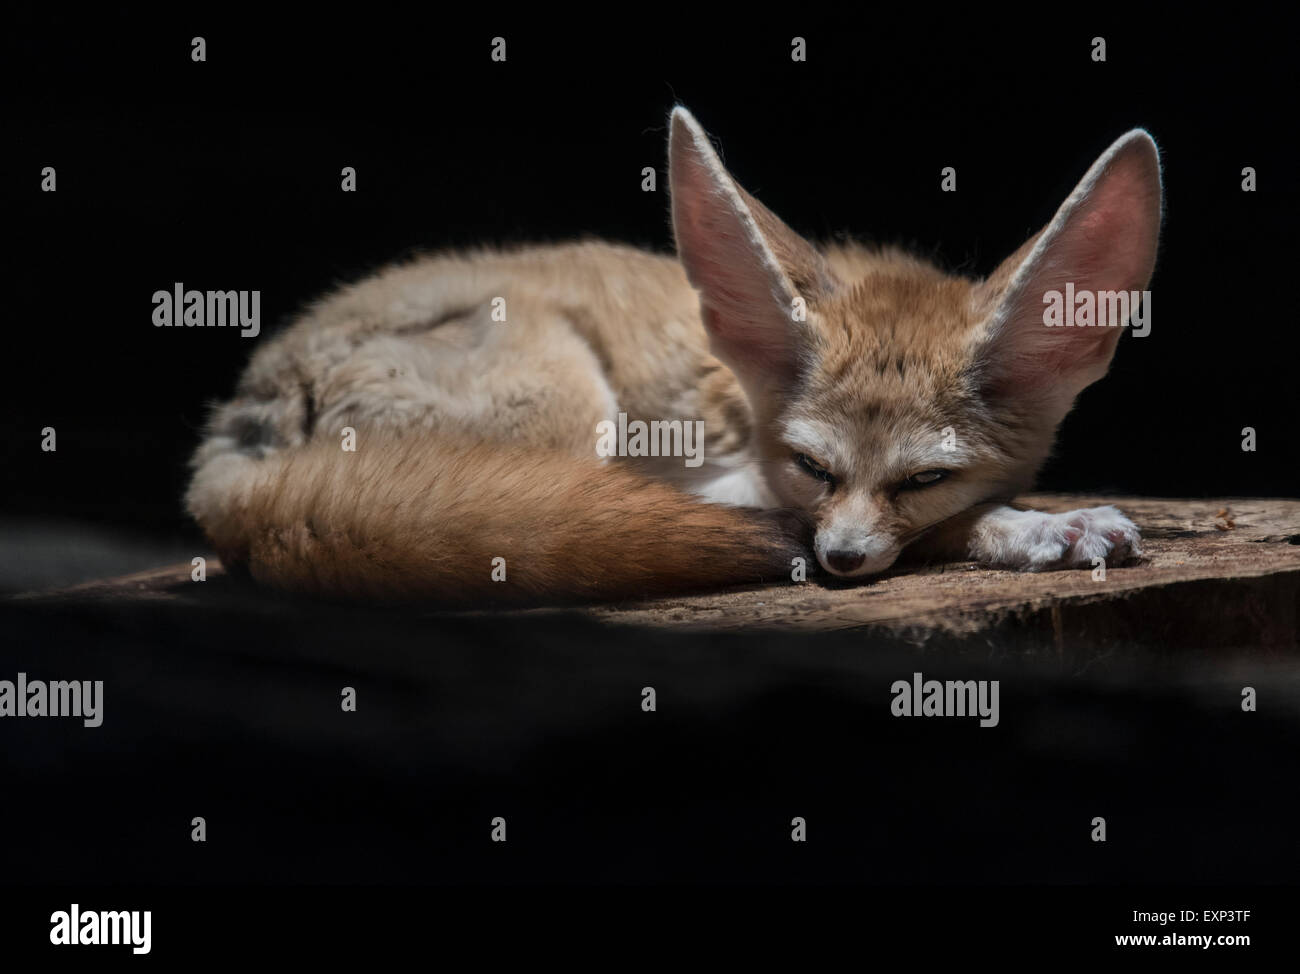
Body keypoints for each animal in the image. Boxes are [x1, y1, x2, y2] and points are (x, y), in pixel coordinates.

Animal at [186, 106, 1163, 604]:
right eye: (811, 465)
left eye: (924, 475)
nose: (842, 562)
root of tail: (235, 432)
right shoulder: (730, 475)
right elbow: (926, 529)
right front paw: (1037, 525)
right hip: (567, 408)